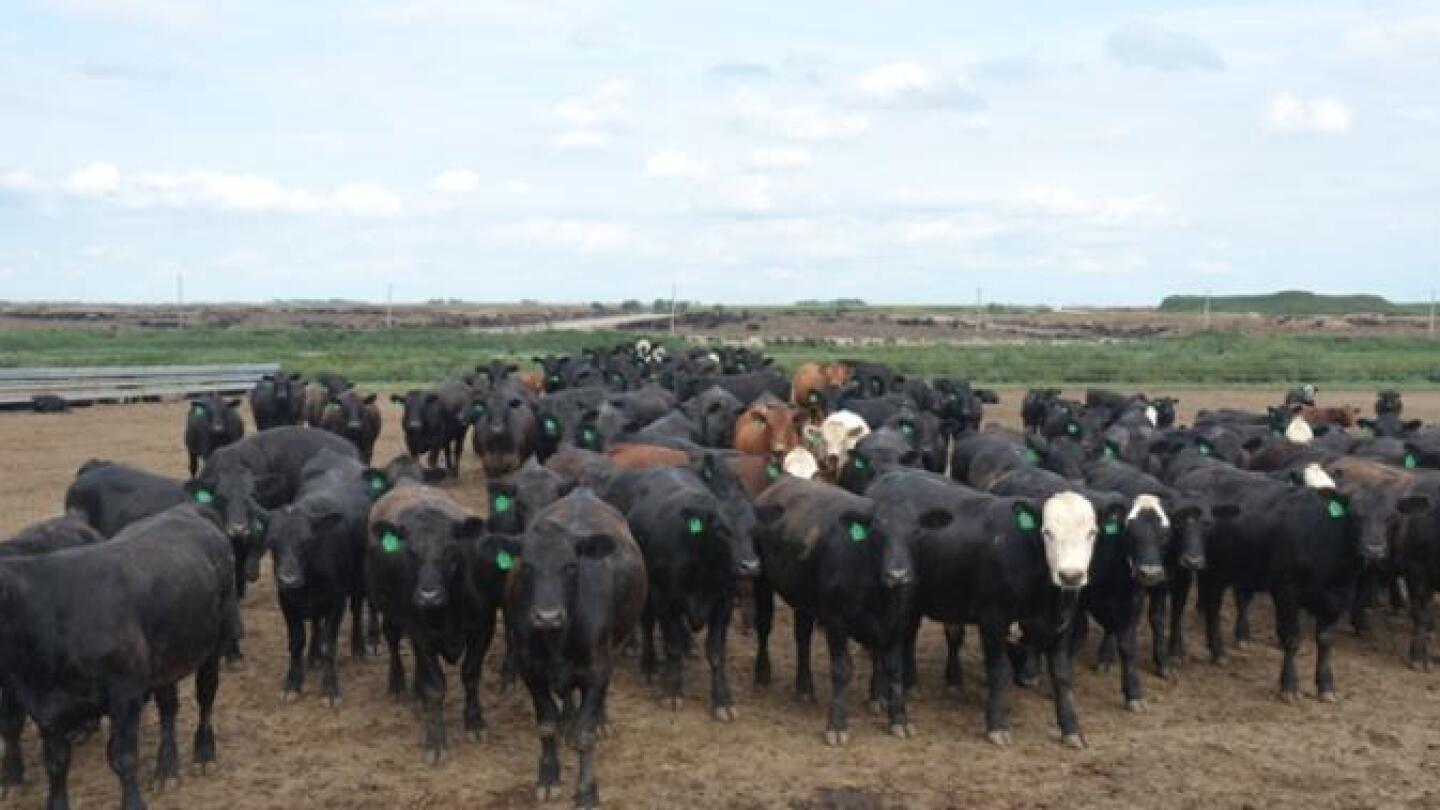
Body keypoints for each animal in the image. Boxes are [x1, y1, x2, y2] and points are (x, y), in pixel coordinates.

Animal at [0, 503, 239, 810]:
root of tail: (186, 509)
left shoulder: (125, 694)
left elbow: (122, 757)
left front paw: (133, 802)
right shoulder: (46, 708)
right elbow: (55, 764)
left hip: (214, 643)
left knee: (206, 696)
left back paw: (204, 754)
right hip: (166, 660)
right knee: (168, 710)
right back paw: (166, 770)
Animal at [491, 489, 646, 808]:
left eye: (571, 566)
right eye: (526, 566)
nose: (548, 616)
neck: (557, 639)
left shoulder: (598, 669)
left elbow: (584, 735)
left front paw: (587, 791)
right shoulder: (530, 668)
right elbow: (546, 722)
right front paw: (548, 776)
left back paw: (600, 719)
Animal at [752, 477, 914, 745]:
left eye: (916, 533)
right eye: (878, 533)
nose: (897, 575)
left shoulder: (897, 622)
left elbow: (895, 668)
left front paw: (900, 719)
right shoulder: (835, 620)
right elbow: (841, 670)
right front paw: (837, 725)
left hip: (804, 598)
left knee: (803, 637)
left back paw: (805, 687)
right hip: (761, 581)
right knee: (764, 626)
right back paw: (762, 673)